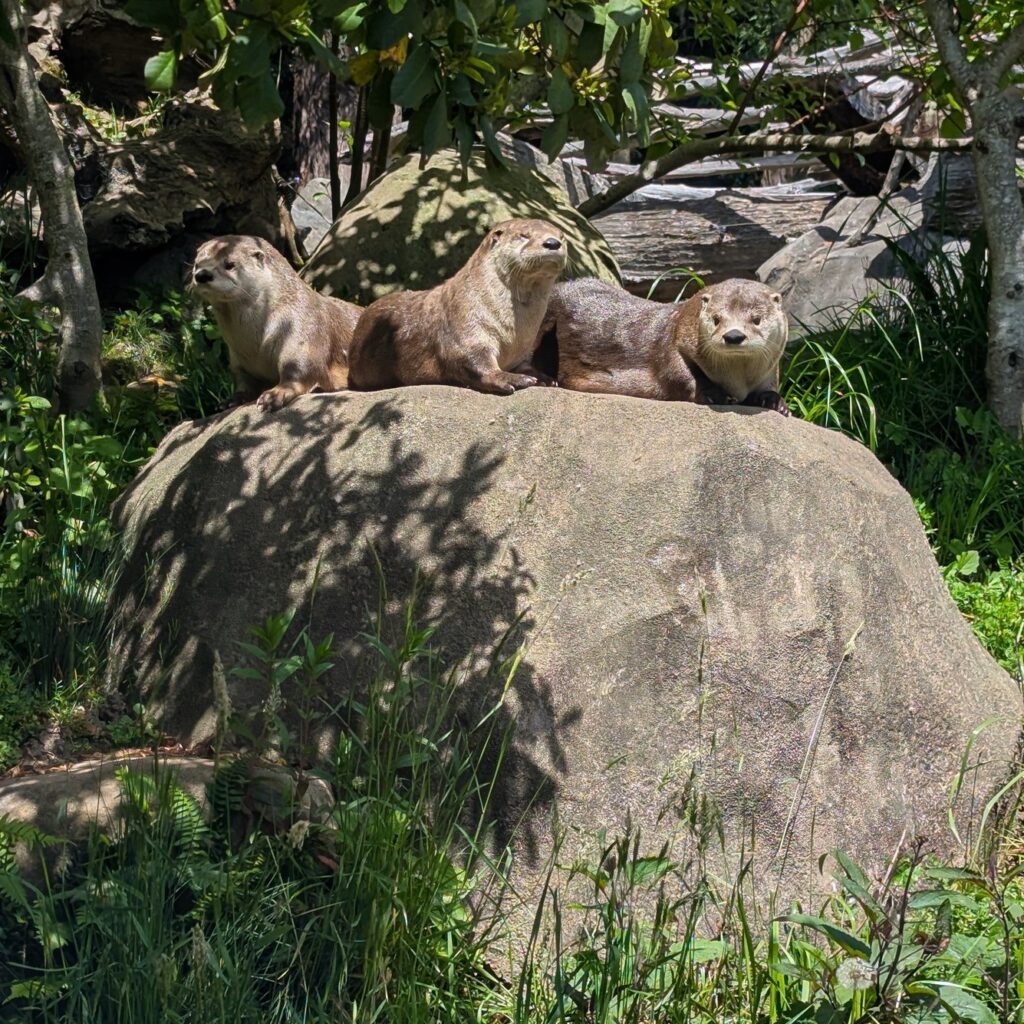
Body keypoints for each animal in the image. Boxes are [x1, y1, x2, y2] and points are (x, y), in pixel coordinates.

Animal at [191, 235, 361, 411]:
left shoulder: (303, 328)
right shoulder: (238, 360)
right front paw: (231, 400)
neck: (254, 347)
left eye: (229, 264)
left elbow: (301, 368)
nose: (201, 275)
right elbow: (243, 381)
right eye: (196, 264)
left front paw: (275, 394)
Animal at [347, 218, 567, 394]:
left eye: (562, 236)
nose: (552, 242)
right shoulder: (464, 324)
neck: (514, 334)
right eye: (523, 235)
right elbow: (471, 359)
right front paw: (511, 378)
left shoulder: (522, 351)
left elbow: (526, 366)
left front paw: (545, 379)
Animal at [539, 278, 790, 415]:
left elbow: (769, 389)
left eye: (756, 319)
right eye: (717, 319)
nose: (734, 335)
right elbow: (679, 375)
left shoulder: (770, 371)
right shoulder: (673, 342)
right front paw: (717, 395)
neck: (737, 379)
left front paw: (776, 402)